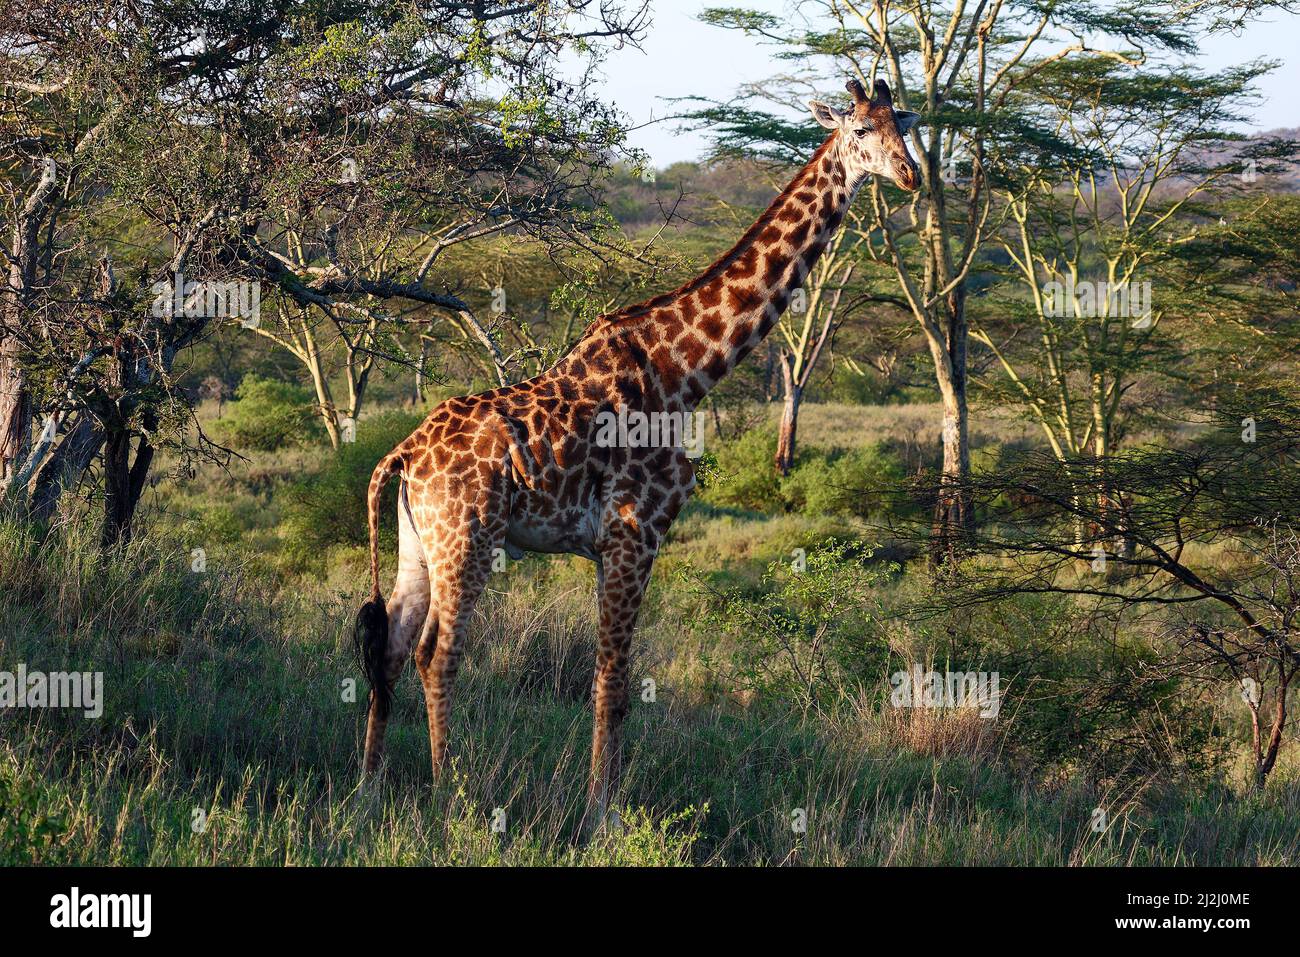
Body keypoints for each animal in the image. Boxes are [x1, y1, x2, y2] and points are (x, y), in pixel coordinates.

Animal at [354, 77, 921, 818]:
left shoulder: (616, 542)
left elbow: (610, 675)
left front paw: (603, 799)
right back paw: (450, 793)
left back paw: (368, 788)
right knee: (435, 652)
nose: (911, 174)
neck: (686, 369)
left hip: (417, 540)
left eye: (902, 125)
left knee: (389, 644)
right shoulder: (636, 530)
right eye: (859, 131)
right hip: (467, 538)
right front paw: (603, 810)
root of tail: (404, 454)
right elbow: (615, 682)